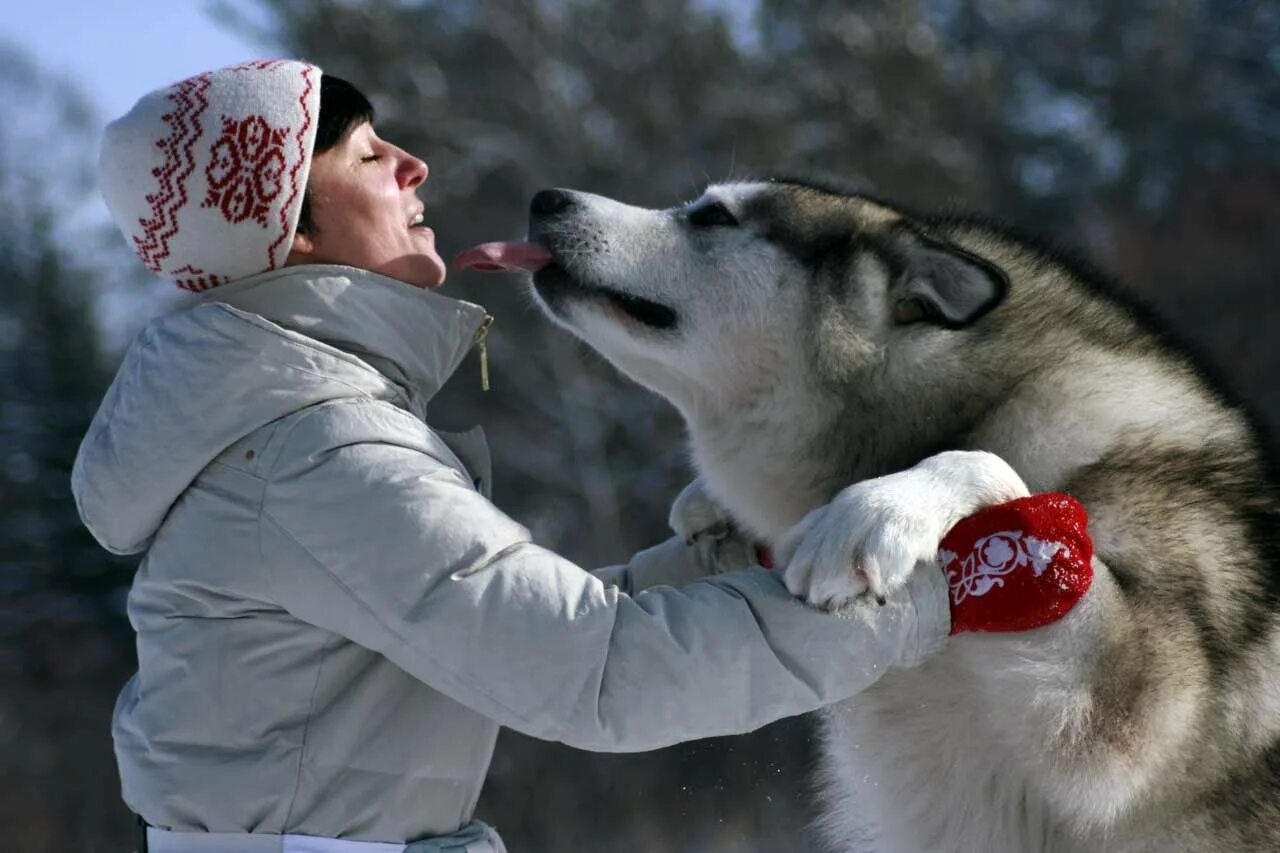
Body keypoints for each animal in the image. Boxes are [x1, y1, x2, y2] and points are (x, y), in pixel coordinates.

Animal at [509, 180, 1280, 850]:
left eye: (715, 216)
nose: (545, 198)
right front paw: (709, 508)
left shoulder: (1131, 711)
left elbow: (984, 467)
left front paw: (879, 510)